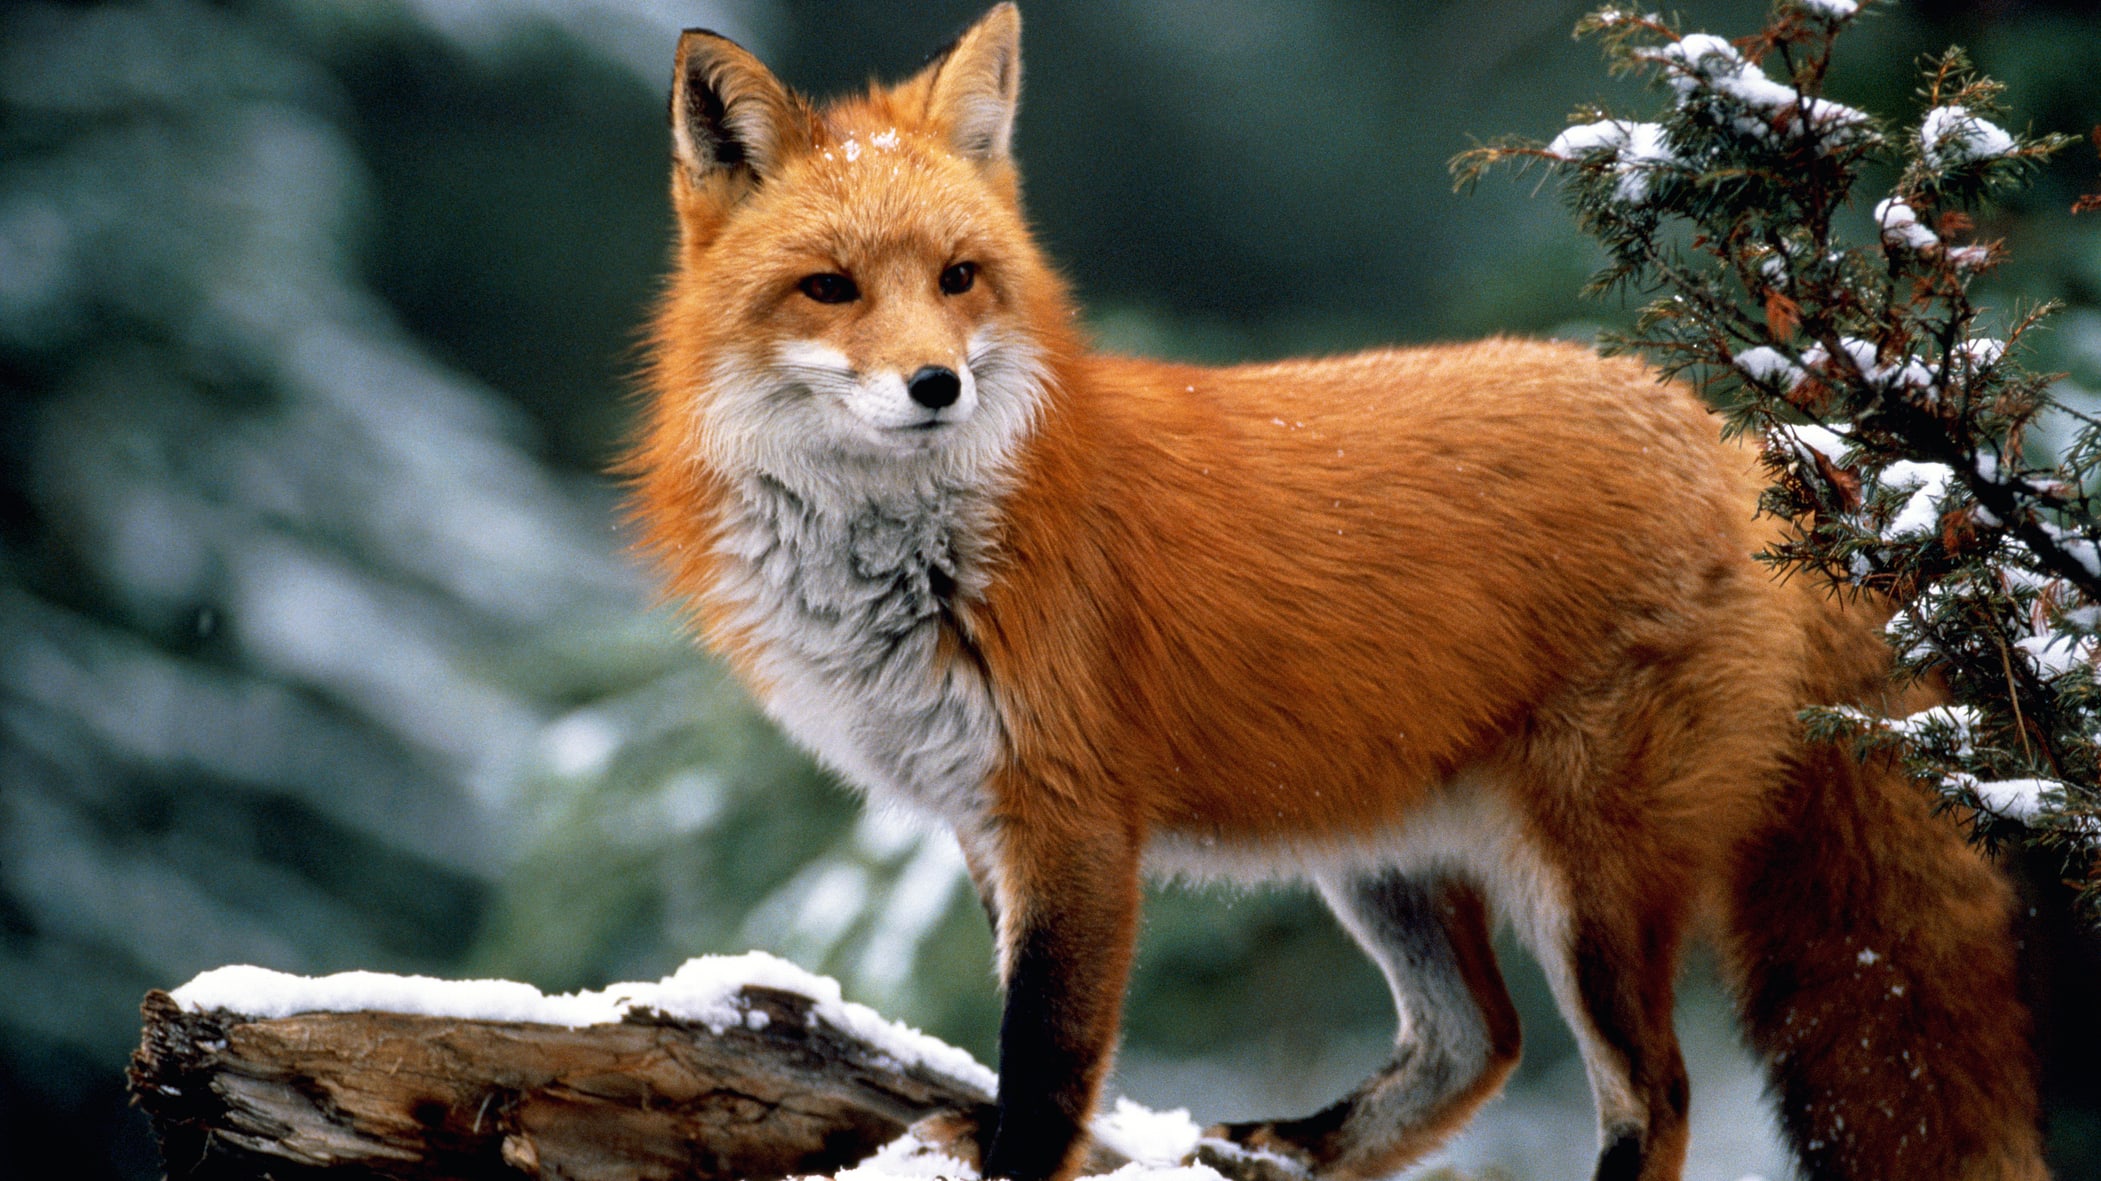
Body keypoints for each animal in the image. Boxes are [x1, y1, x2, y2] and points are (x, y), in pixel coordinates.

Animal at [625, 6, 2046, 1181]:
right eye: (830, 287)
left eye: (957, 279)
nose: (937, 385)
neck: (912, 560)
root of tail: (1741, 443)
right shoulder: (984, 815)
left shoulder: (1071, 821)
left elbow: (1049, 1059)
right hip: (1378, 850)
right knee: (1477, 1040)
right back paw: (1299, 1147)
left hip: (1588, 880)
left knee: (1656, 1095)